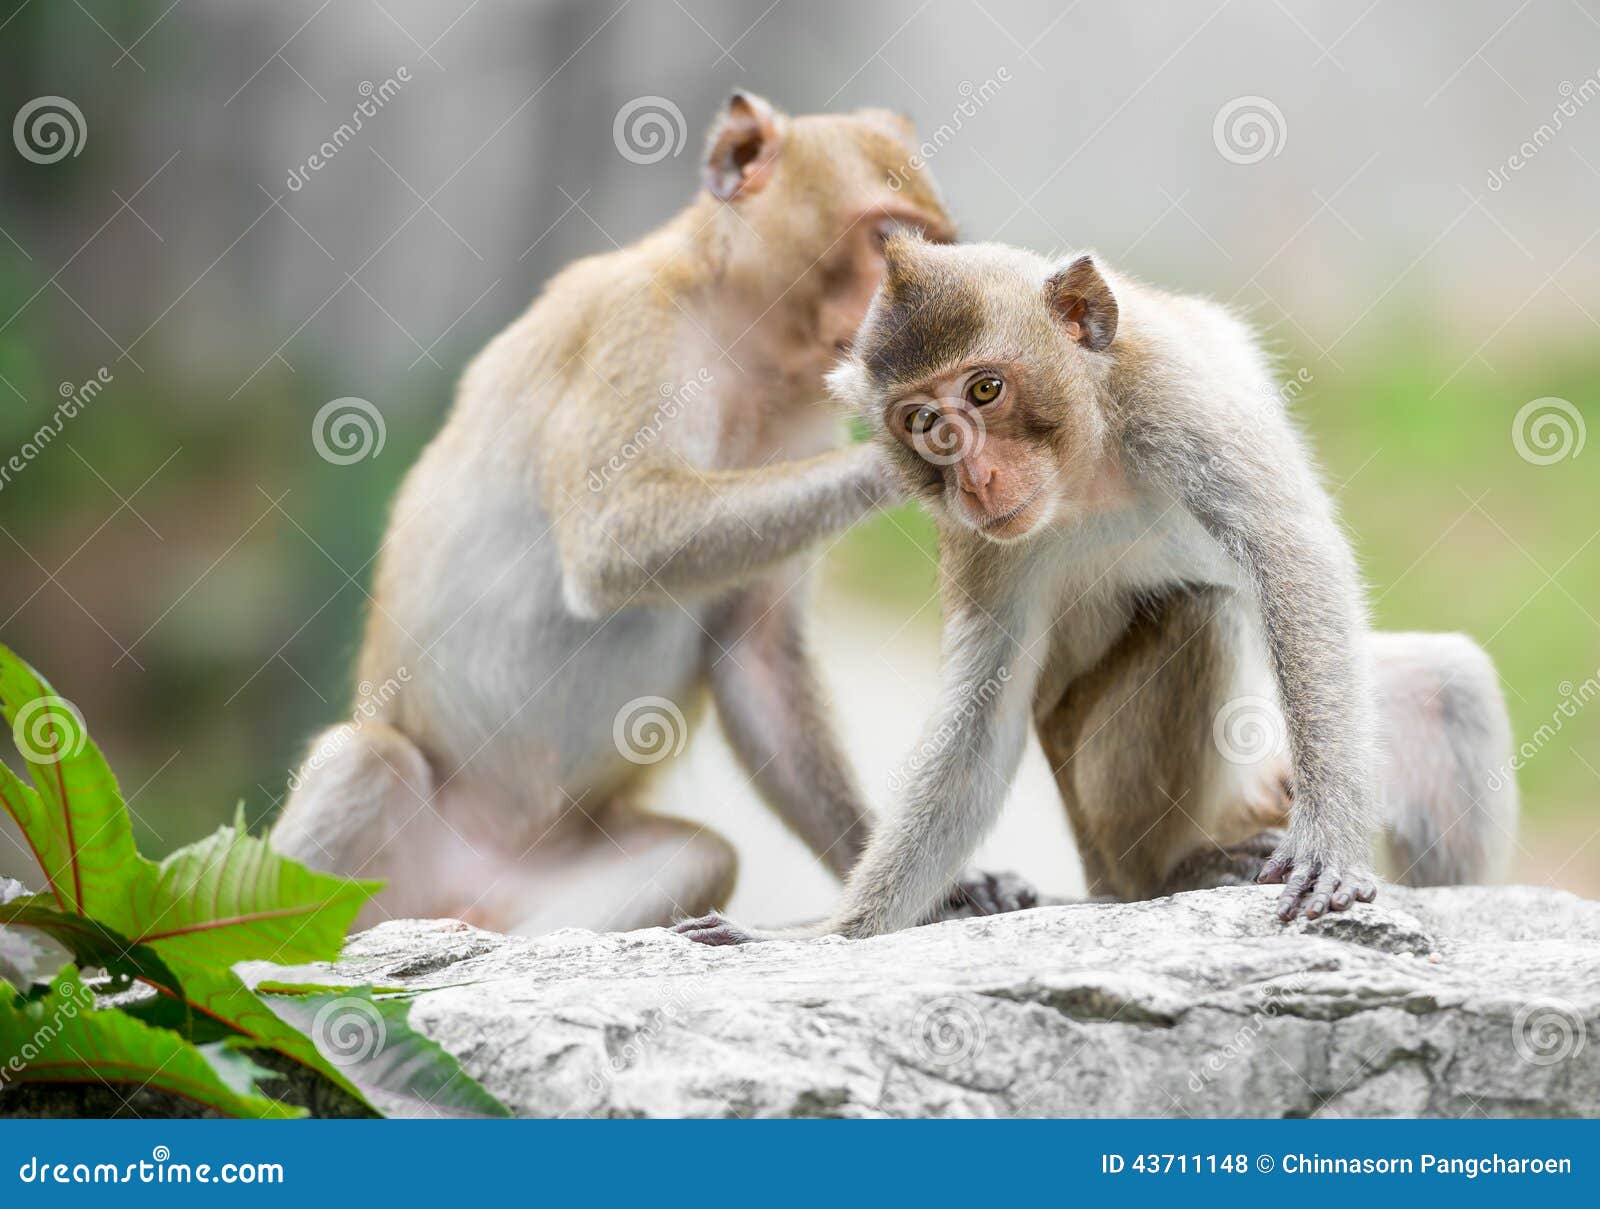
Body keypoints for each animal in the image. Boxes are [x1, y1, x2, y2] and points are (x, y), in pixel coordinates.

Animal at [269, 94, 1038, 934]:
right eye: (882, 239)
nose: (903, 323)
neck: (750, 349)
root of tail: (469, 891)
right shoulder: (633, 323)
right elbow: (611, 538)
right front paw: (915, 458)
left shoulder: (808, 416)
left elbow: (755, 655)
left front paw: (940, 889)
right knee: (364, 764)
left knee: (695, 859)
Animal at [675, 234, 1517, 944]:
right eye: (922, 422)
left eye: (986, 389)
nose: (972, 473)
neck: (1092, 463)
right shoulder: (985, 541)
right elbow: (986, 705)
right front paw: (829, 935)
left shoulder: (1175, 399)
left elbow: (1291, 555)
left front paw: (1330, 838)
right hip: (1114, 828)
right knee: (1203, 613)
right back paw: (1178, 868)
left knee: (1448, 682)